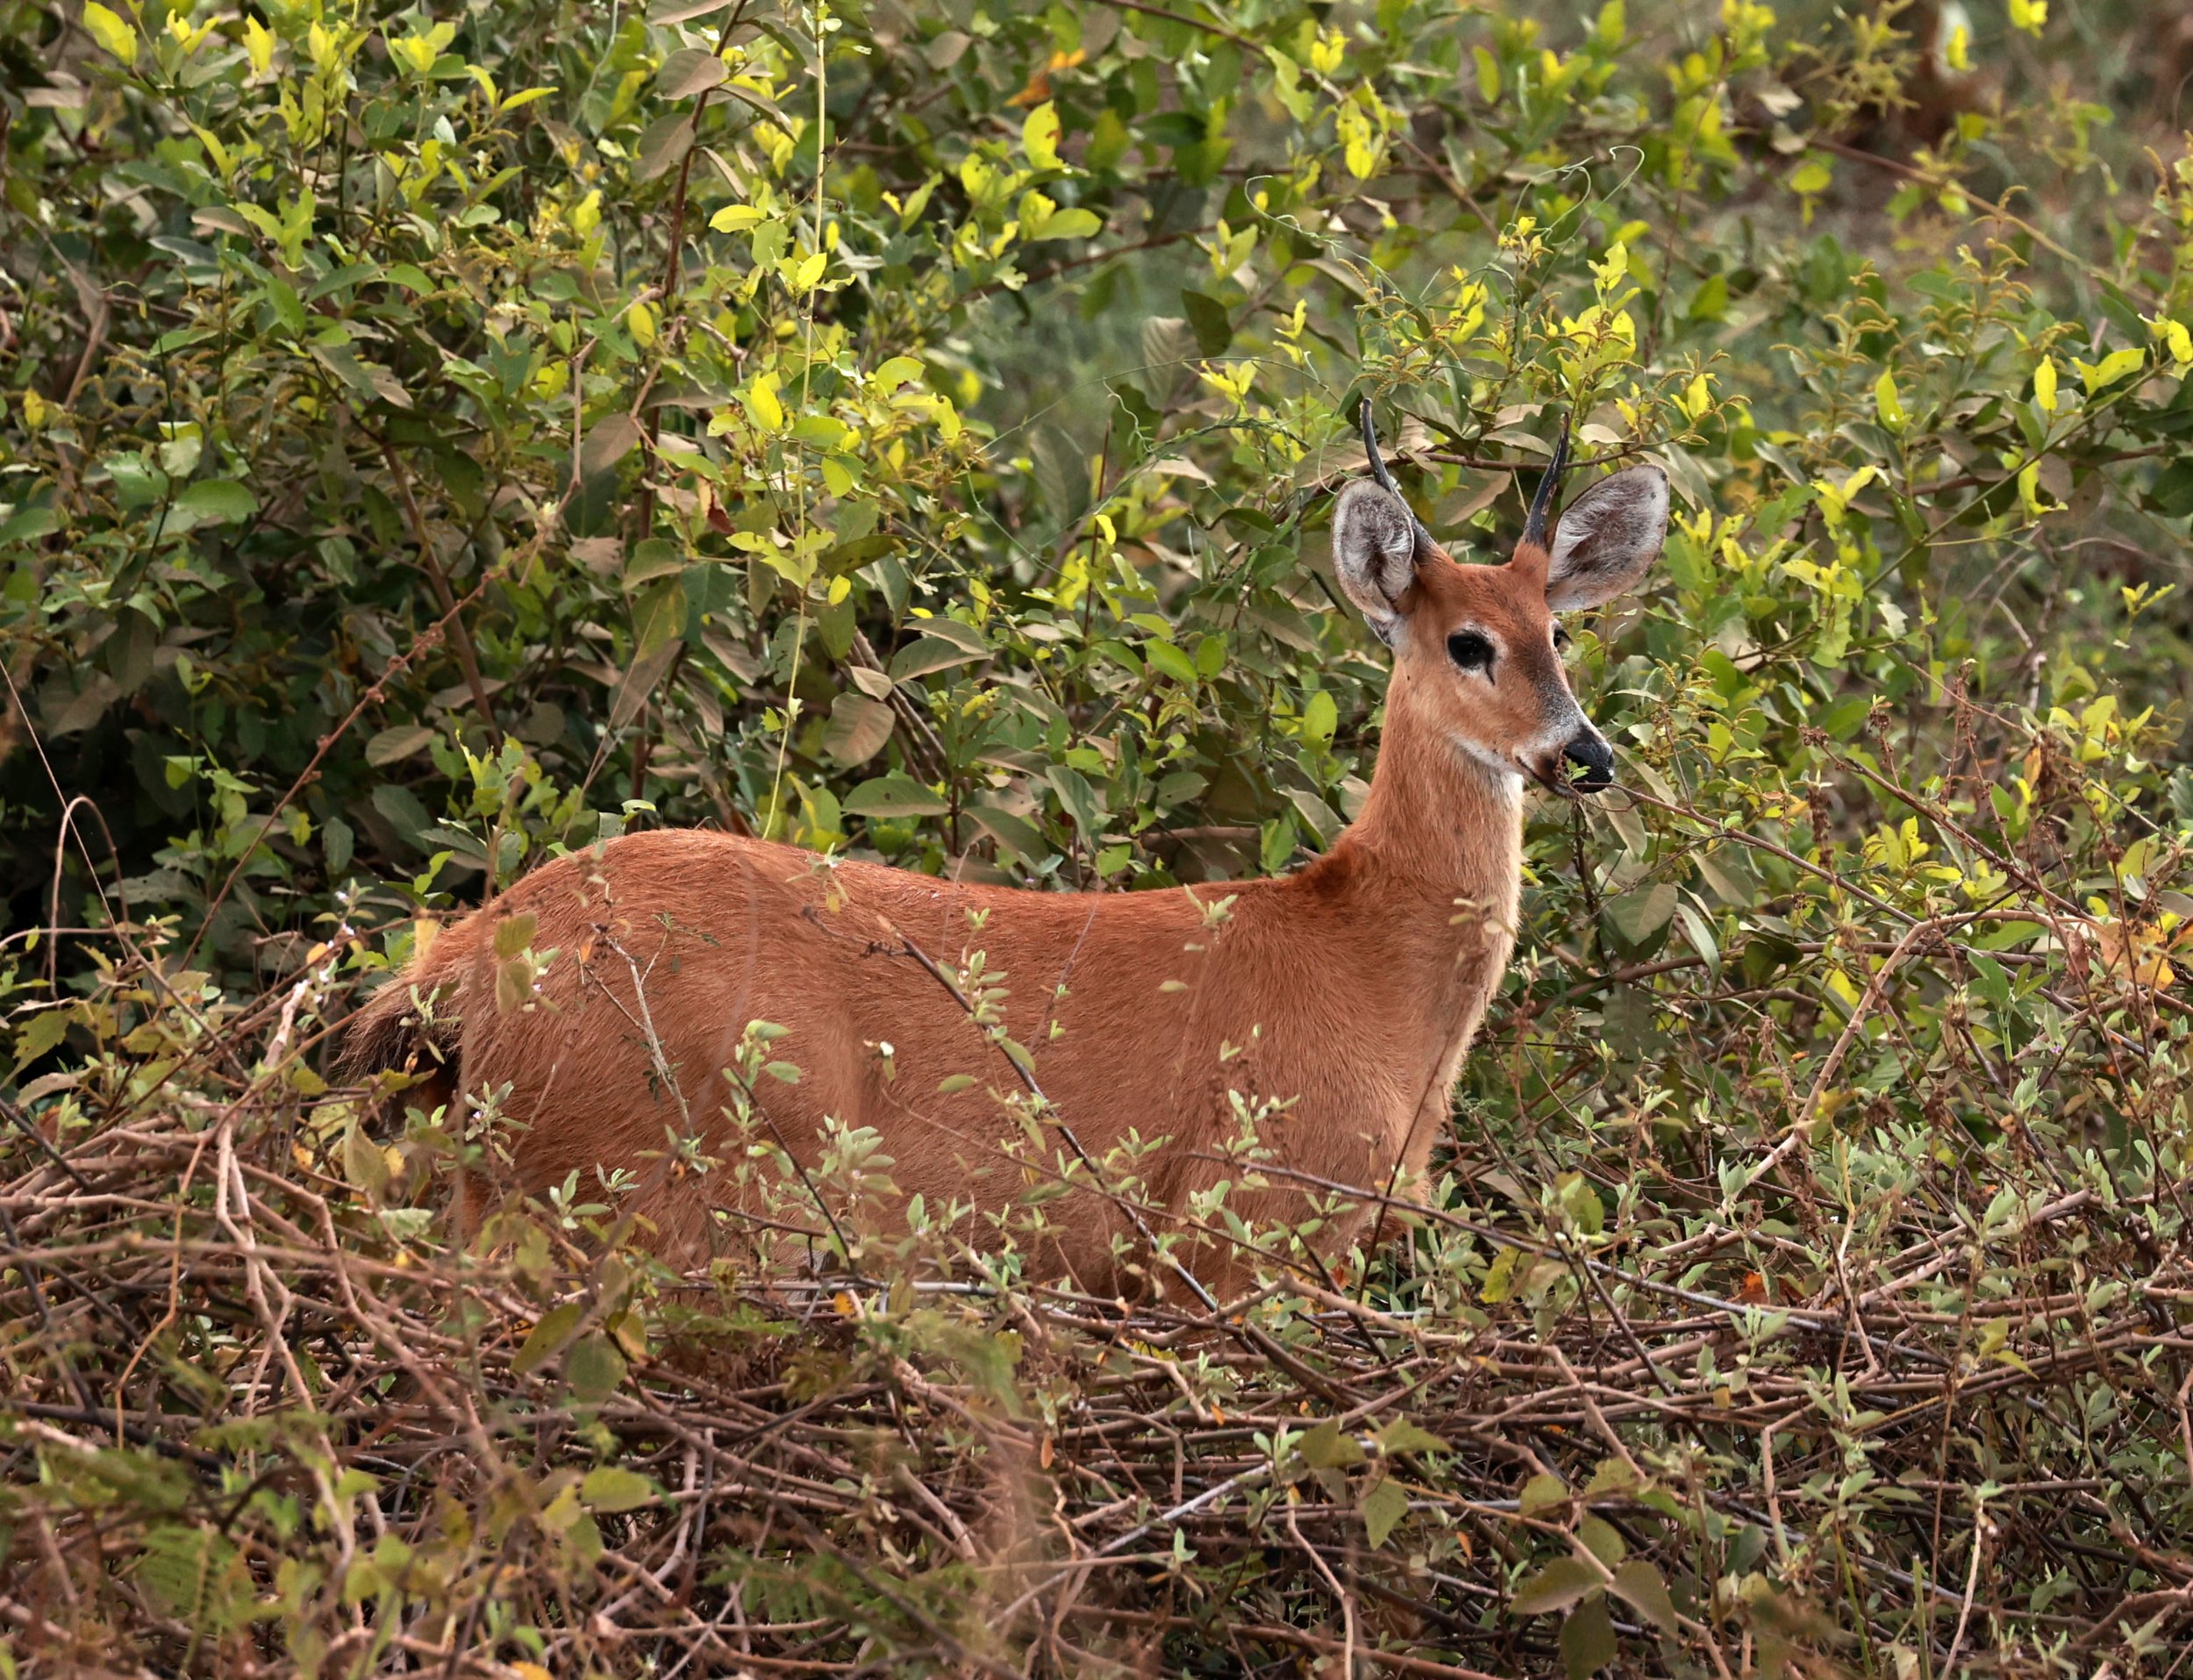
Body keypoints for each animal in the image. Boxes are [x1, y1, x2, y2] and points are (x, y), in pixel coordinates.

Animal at [342, 401, 1669, 1301]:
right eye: (1465, 642)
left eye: (1558, 631)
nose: (1584, 750)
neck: (1374, 971)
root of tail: (463, 965)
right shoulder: (1241, 1222)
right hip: (660, 1183)